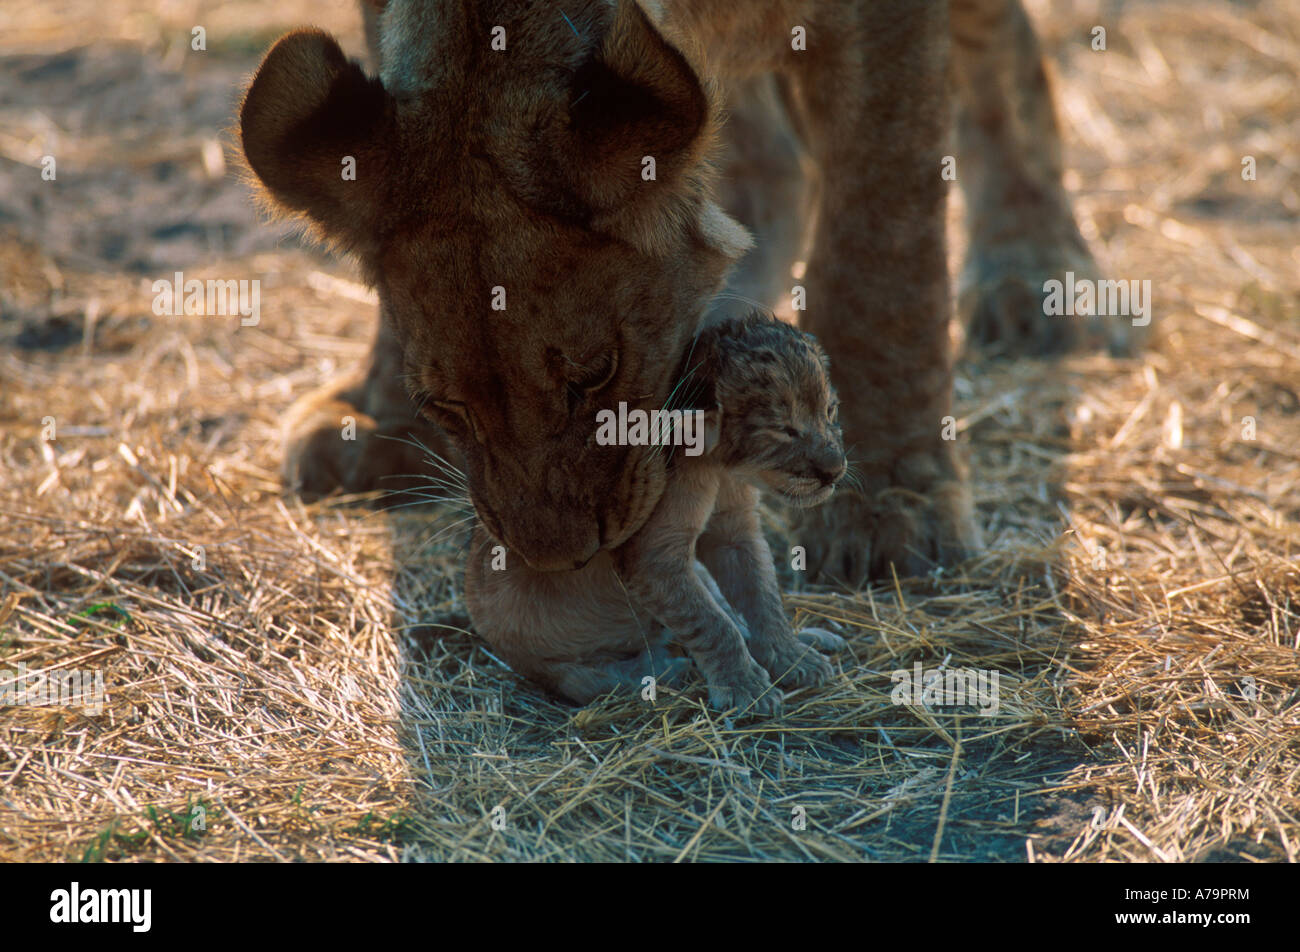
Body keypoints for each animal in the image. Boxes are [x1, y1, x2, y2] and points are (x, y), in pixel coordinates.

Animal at [241, 0, 1122, 586]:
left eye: (594, 376)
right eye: (444, 406)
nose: (559, 557)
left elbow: (879, 254)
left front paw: (888, 508)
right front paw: (373, 413)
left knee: (1002, 54)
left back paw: (1032, 270)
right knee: (767, 155)